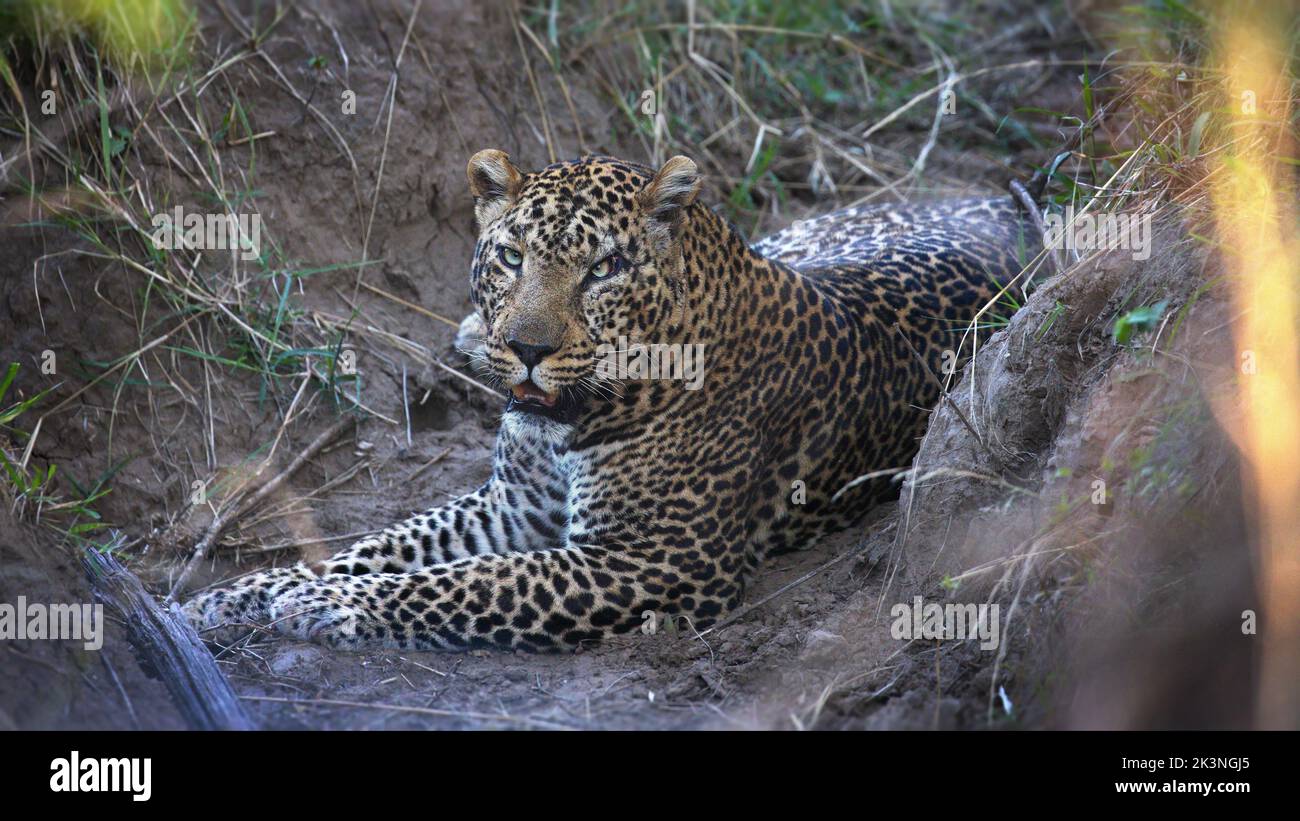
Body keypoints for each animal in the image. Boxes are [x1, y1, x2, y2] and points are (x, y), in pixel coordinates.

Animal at [183, 150, 1035, 652]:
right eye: (511, 256)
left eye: (604, 269)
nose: (526, 347)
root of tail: (999, 200)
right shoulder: (509, 506)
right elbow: (380, 545)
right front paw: (233, 597)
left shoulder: (655, 561)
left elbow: (465, 581)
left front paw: (325, 602)